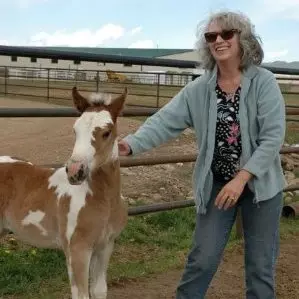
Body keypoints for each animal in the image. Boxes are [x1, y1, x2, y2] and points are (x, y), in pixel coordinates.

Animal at [0, 85, 127, 298]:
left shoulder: (105, 246)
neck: (104, 199)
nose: (75, 171)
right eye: (75, 130)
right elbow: (81, 294)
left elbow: (99, 290)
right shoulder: (77, 250)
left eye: (107, 132)